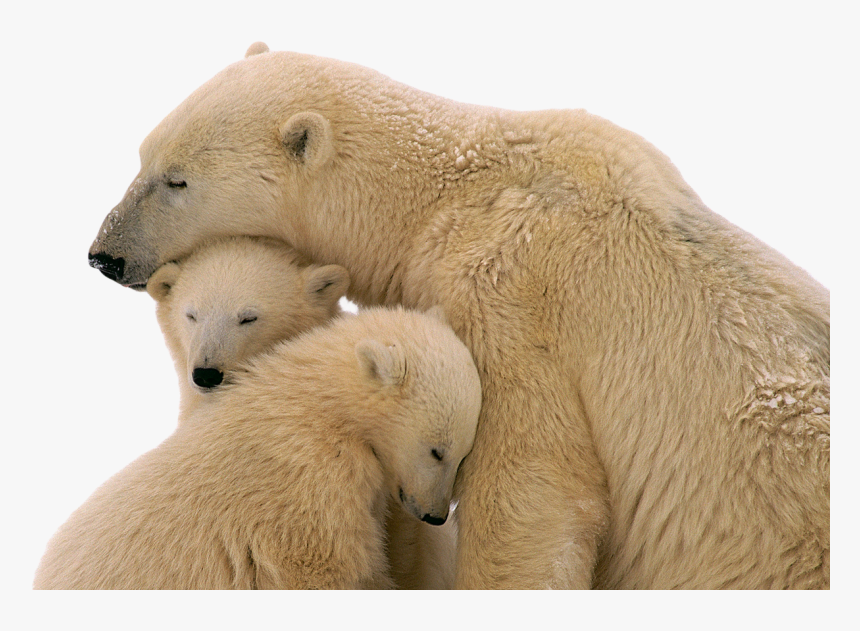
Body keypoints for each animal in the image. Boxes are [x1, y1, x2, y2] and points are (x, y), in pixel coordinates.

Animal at [33, 306, 482, 589]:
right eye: (437, 450)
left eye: (463, 455)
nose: (436, 515)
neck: (319, 405)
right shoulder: (308, 484)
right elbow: (327, 567)